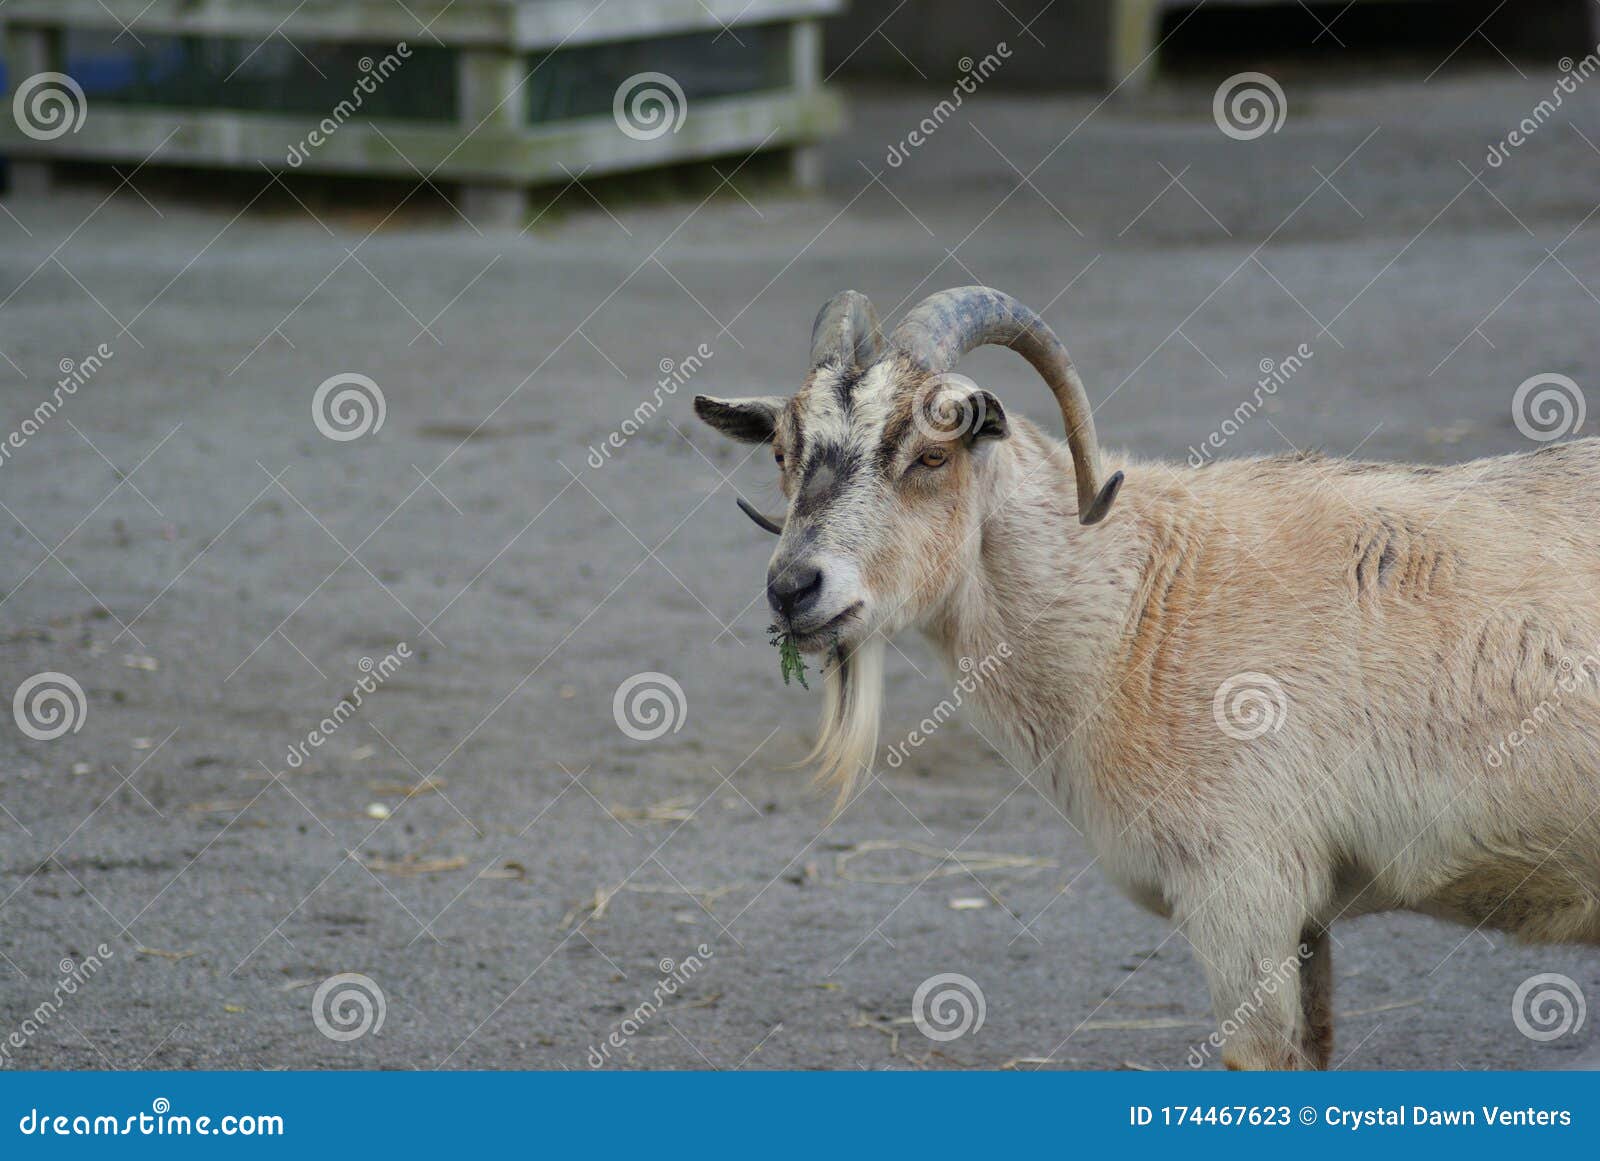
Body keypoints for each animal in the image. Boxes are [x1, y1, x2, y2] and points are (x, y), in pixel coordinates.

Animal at [693, 285, 1600, 1070]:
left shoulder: (1242, 885)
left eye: (931, 451)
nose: (794, 588)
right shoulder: (1301, 908)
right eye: (782, 451)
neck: (1141, 607)